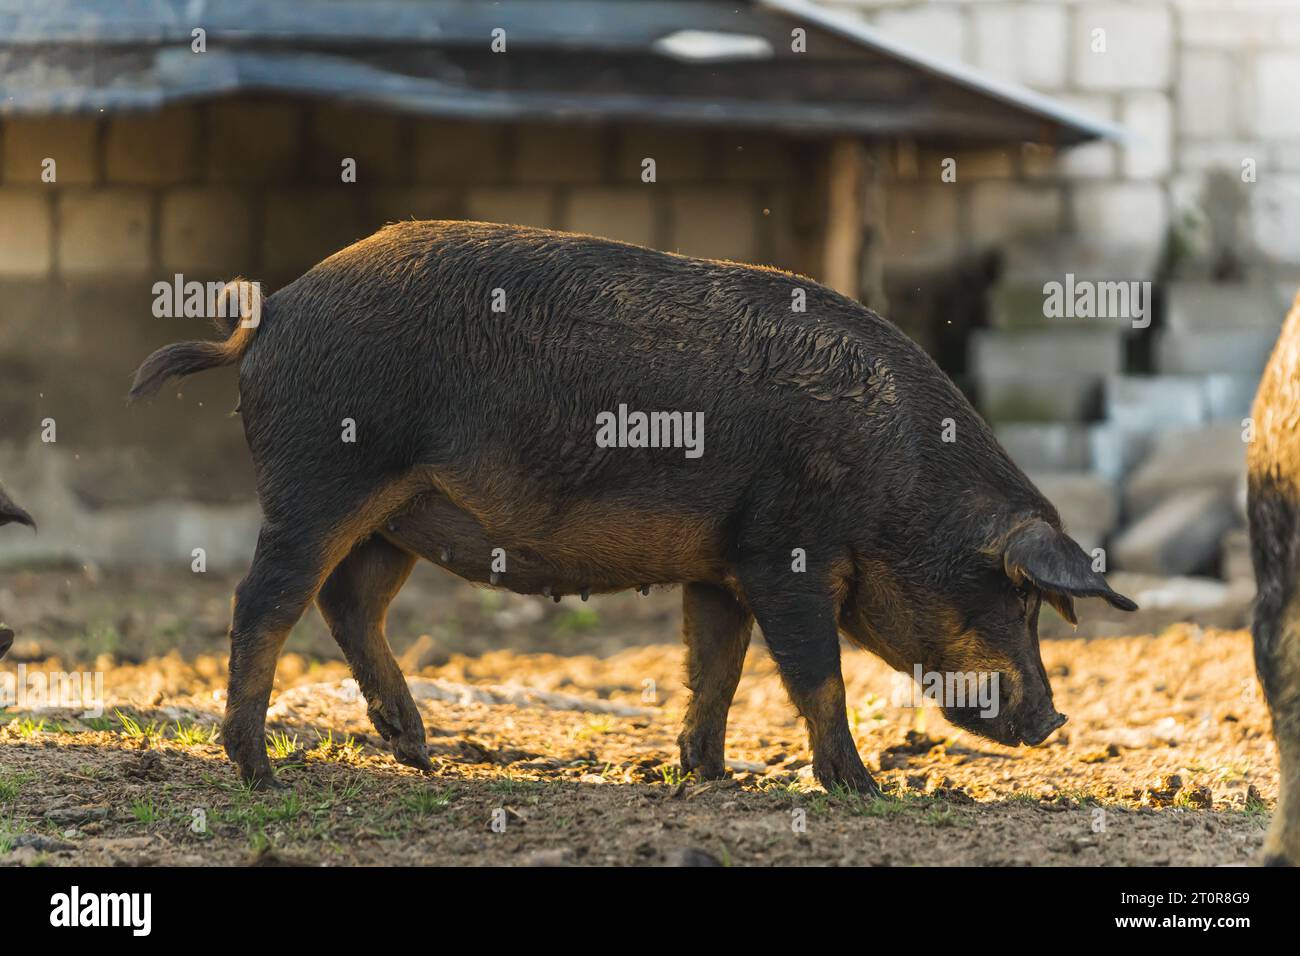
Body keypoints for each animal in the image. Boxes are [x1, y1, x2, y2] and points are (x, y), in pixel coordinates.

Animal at [130, 220, 1136, 791]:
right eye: (1016, 597)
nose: (1054, 721)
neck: (895, 481)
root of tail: (268, 318)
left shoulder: (723, 567)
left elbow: (716, 668)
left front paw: (710, 776)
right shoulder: (786, 551)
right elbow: (814, 673)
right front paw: (860, 789)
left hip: (399, 512)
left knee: (350, 604)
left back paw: (421, 753)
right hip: (322, 481)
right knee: (264, 604)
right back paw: (262, 775)